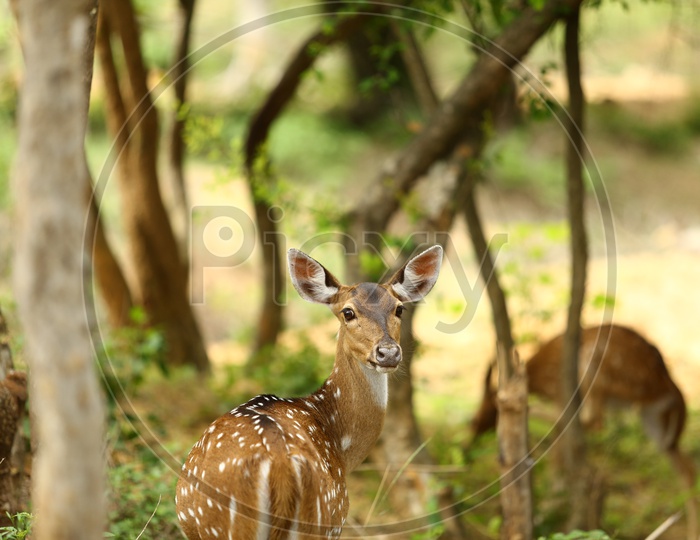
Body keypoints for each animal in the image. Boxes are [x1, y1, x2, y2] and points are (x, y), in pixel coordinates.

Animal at [470, 323, 697, 539]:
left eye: (477, 418)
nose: (473, 436)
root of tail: (671, 387)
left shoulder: (560, 393)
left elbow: (558, 446)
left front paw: (547, 506)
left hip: (595, 363)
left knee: (594, 421)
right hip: (653, 418)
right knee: (686, 467)